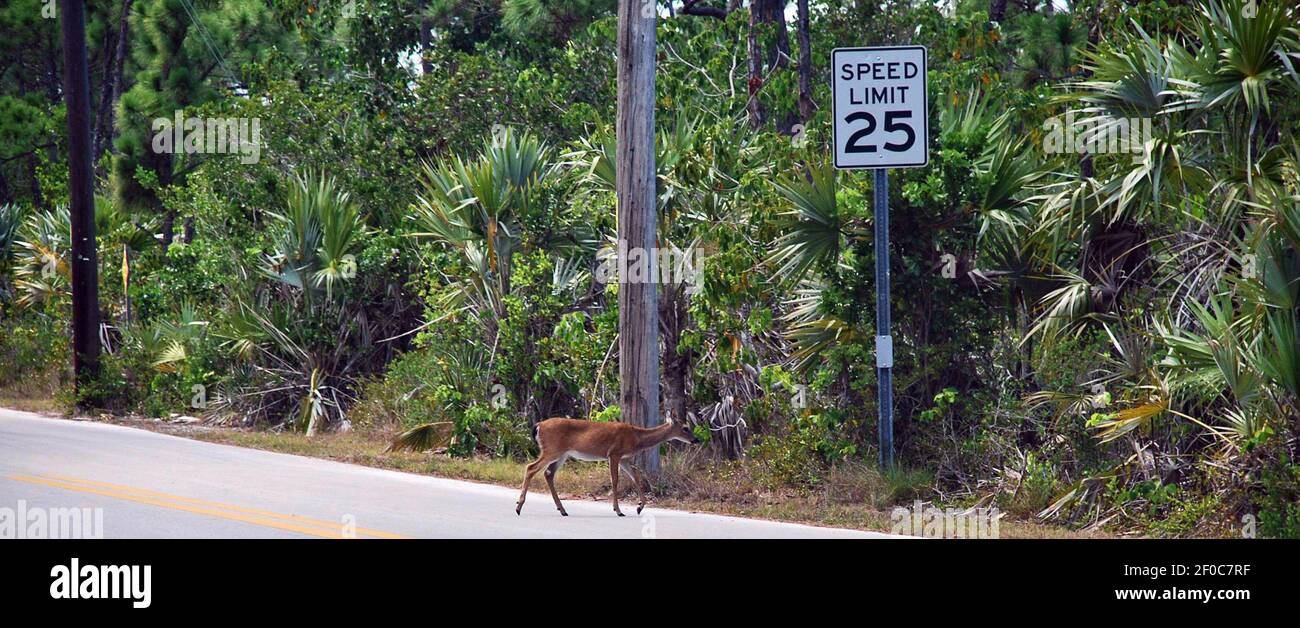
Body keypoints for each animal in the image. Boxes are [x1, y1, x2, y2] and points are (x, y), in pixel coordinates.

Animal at [515, 415, 700, 517]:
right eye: (685, 428)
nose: (696, 440)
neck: (636, 437)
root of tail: (538, 425)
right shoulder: (614, 453)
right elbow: (615, 480)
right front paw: (618, 510)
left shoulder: (624, 458)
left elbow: (636, 477)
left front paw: (639, 507)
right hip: (552, 449)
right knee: (531, 468)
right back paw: (519, 507)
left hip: (562, 454)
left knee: (548, 473)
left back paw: (562, 510)